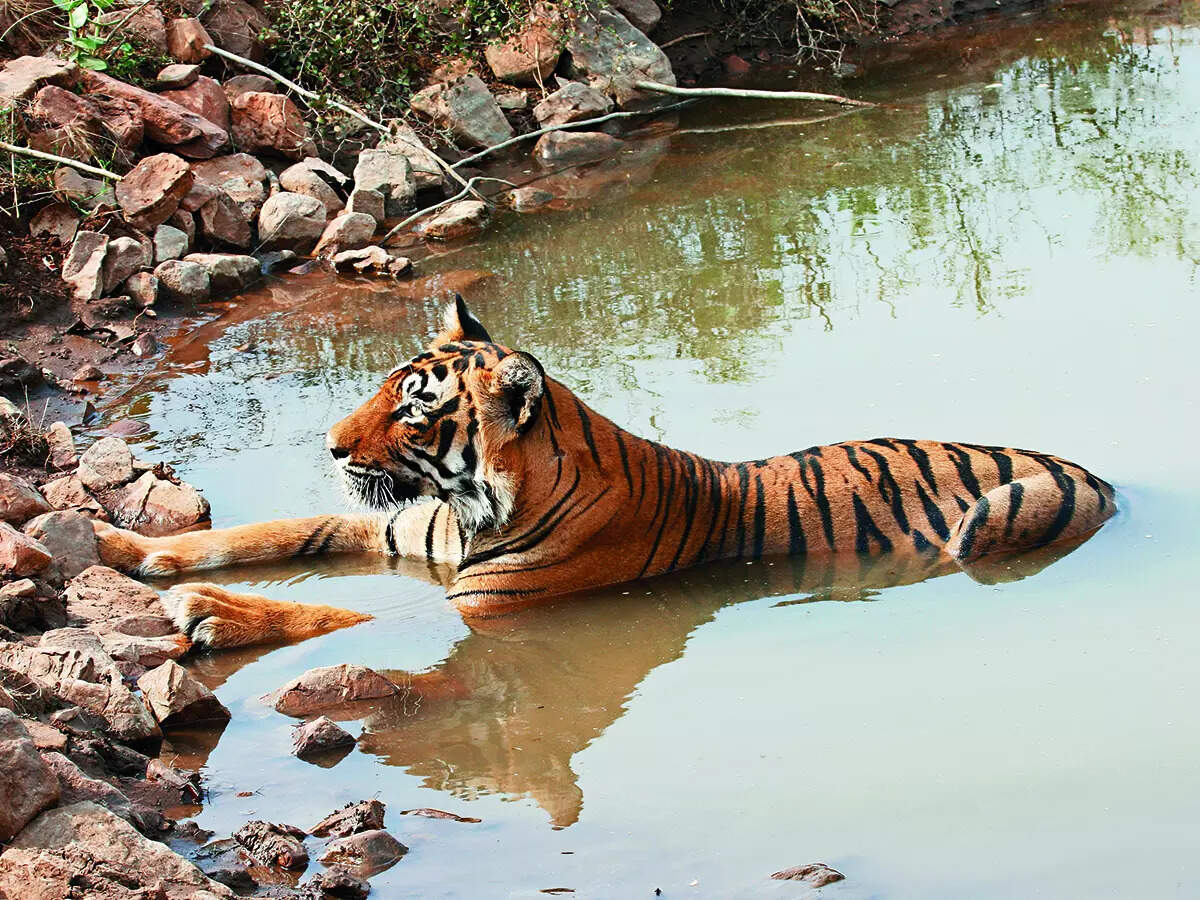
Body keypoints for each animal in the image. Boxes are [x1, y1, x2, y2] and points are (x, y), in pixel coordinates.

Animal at [93, 296, 1117, 649]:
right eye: (385, 386)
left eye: (413, 408)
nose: (332, 447)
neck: (468, 503)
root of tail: (1100, 477)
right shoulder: (388, 528)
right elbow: (260, 532)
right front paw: (119, 542)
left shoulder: (487, 608)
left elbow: (338, 615)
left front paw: (207, 613)